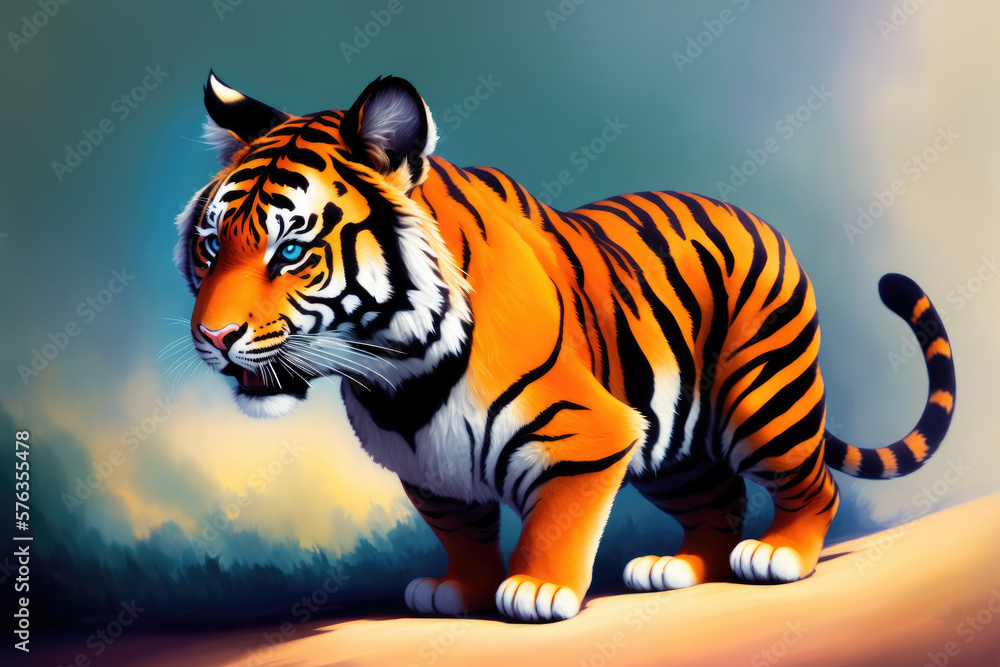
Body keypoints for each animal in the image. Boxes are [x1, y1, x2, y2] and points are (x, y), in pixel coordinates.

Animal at [175, 72, 956, 622]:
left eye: (292, 250)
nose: (211, 336)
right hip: (677, 451)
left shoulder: (591, 431)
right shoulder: (427, 466)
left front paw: (535, 588)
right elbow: (460, 526)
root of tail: (752, 215)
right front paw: (459, 588)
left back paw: (778, 555)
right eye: (213, 245)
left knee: (812, 485)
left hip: (764, 400)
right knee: (720, 497)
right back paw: (675, 570)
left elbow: (556, 518)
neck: (399, 373)